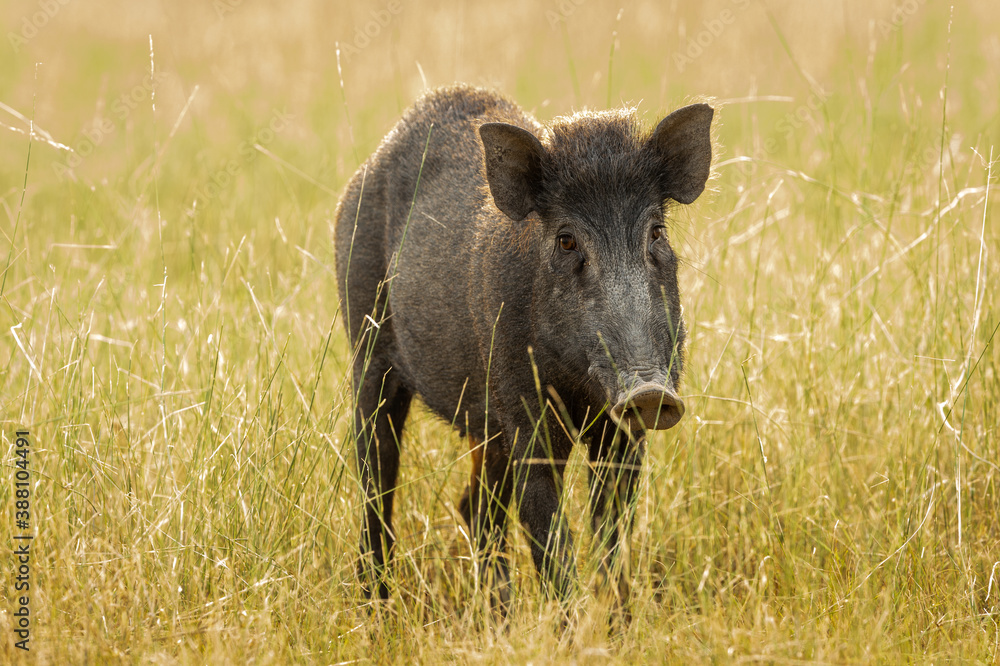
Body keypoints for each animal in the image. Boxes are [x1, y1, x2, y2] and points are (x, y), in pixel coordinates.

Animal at [334, 84, 712, 615]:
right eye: (567, 240)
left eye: (656, 232)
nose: (649, 393)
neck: (582, 392)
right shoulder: (528, 424)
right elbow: (553, 544)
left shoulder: (621, 437)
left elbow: (611, 540)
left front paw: (617, 625)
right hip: (366, 350)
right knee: (376, 488)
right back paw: (378, 613)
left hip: (486, 426)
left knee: (474, 507)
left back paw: (499, 618)